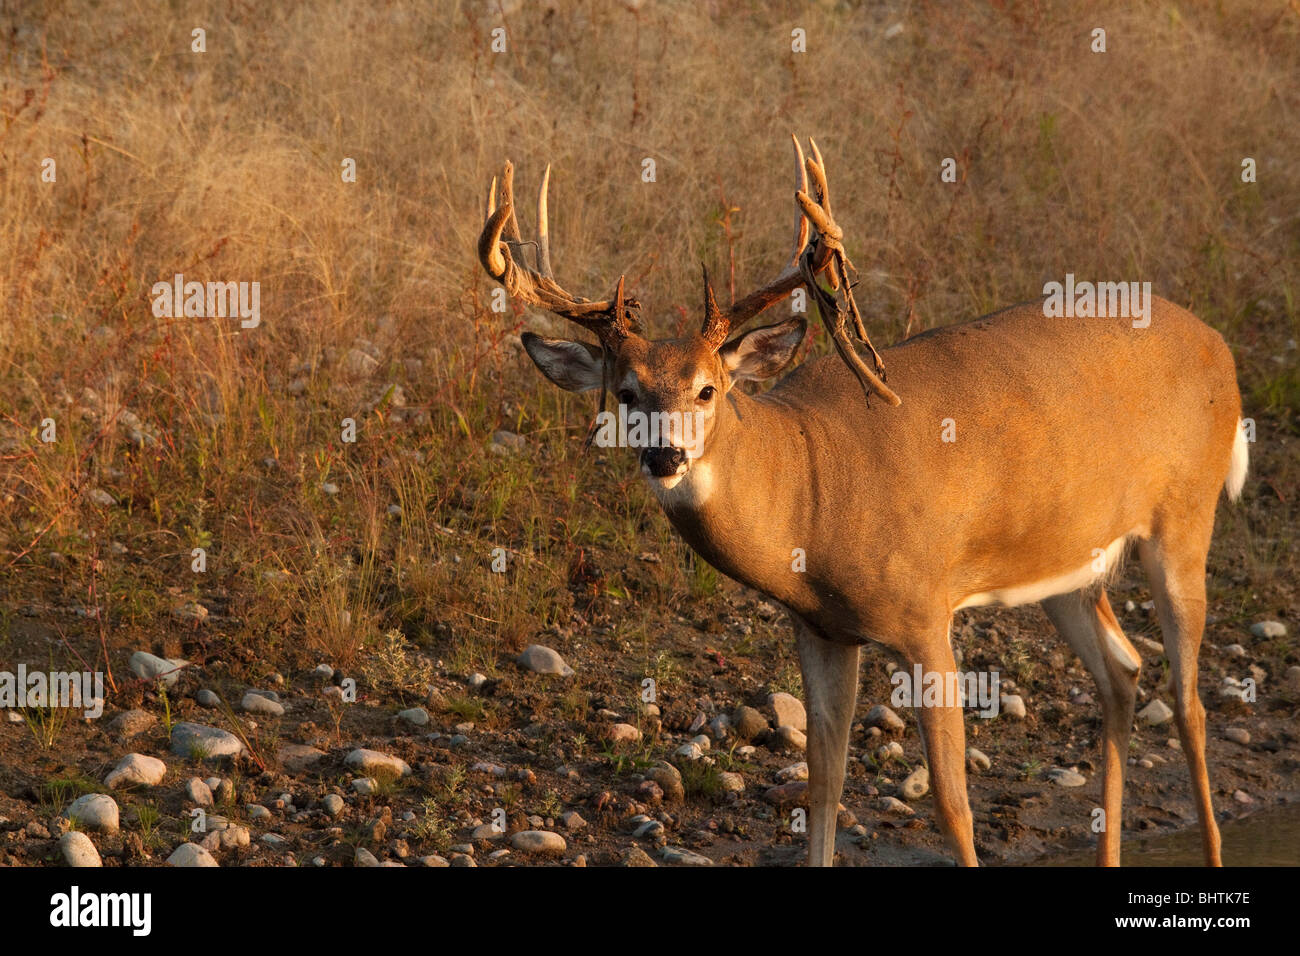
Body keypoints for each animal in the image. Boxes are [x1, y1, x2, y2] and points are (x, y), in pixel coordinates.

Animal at [475, 137, 1247, 867]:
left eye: (707, 389)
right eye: (627, 393)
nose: (665, 457)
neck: (811, 488)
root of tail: (1219, 344)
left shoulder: (926, 612)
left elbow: (953, 803)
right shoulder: (820, 629)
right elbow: (824, 788)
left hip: (1185, 519)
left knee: (1189, 702)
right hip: (1069, 565)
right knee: (1123, 672)